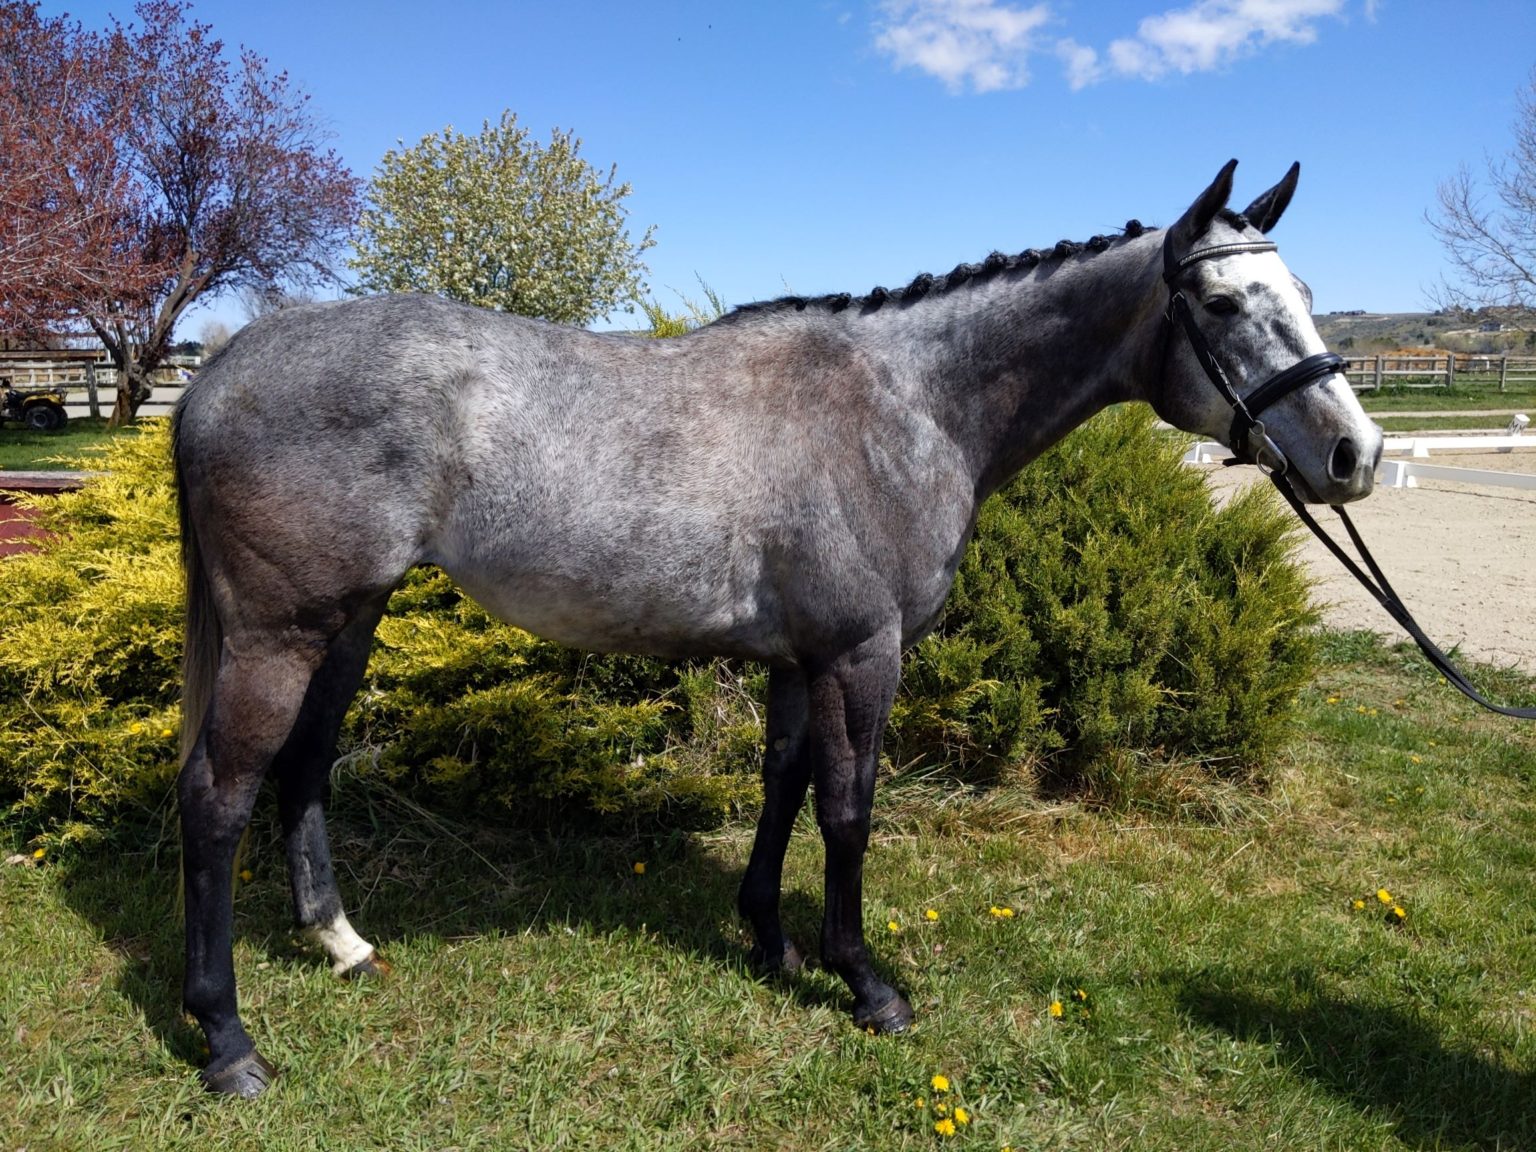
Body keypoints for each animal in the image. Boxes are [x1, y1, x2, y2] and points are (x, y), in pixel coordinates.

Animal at [172, 160, 1382, 1096]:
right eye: (1221, 308)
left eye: (1304, 290)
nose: (1353, 455)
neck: (904, 406)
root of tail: (221, 366)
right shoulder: (862, 652)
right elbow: (848, 811)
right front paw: (867, 983)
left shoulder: (801, 659)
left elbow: (785, 785)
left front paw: (771, 943)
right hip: (281, 631)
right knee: (219, 798)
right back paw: (226, 1040)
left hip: (349, 619)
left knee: (305, 769)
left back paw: (341, 945)